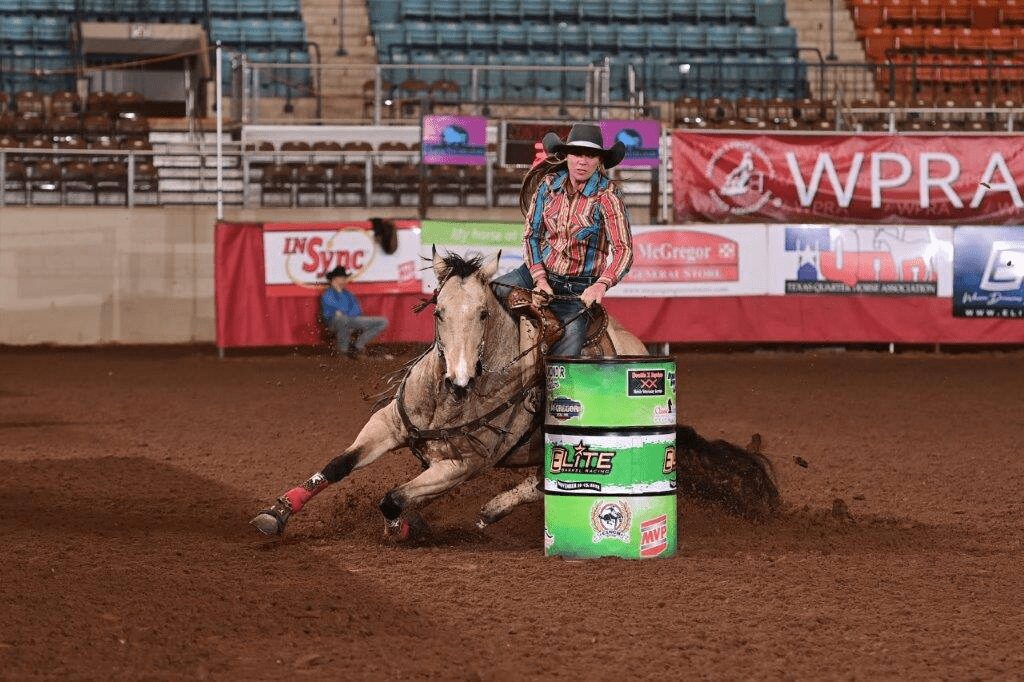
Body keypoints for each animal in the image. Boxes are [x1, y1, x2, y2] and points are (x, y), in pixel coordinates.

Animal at [251, 250, 778, 540]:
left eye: (483, 314)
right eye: (438, 311)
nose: (459, 378)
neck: (452, 398)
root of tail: (637, 347)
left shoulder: (465, 464)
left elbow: (394, 496)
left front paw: (402, 525)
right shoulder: (390, 424)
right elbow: (339, 465)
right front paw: (275, 514)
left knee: (546, 479)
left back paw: (491, 509)